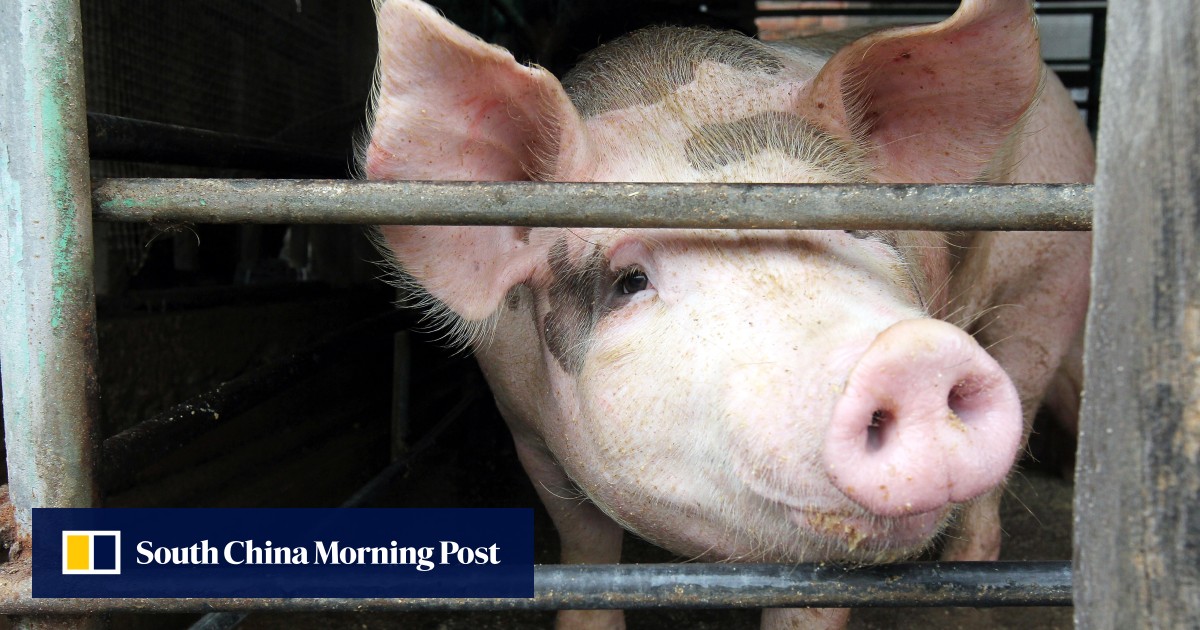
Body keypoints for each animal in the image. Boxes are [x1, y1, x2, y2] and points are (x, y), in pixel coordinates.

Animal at [363, 0, 1093, 627]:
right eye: (630, 281)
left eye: (854, 223)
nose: (912, 354)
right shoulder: (525, 427)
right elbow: (586, 544)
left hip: (1050, 281)